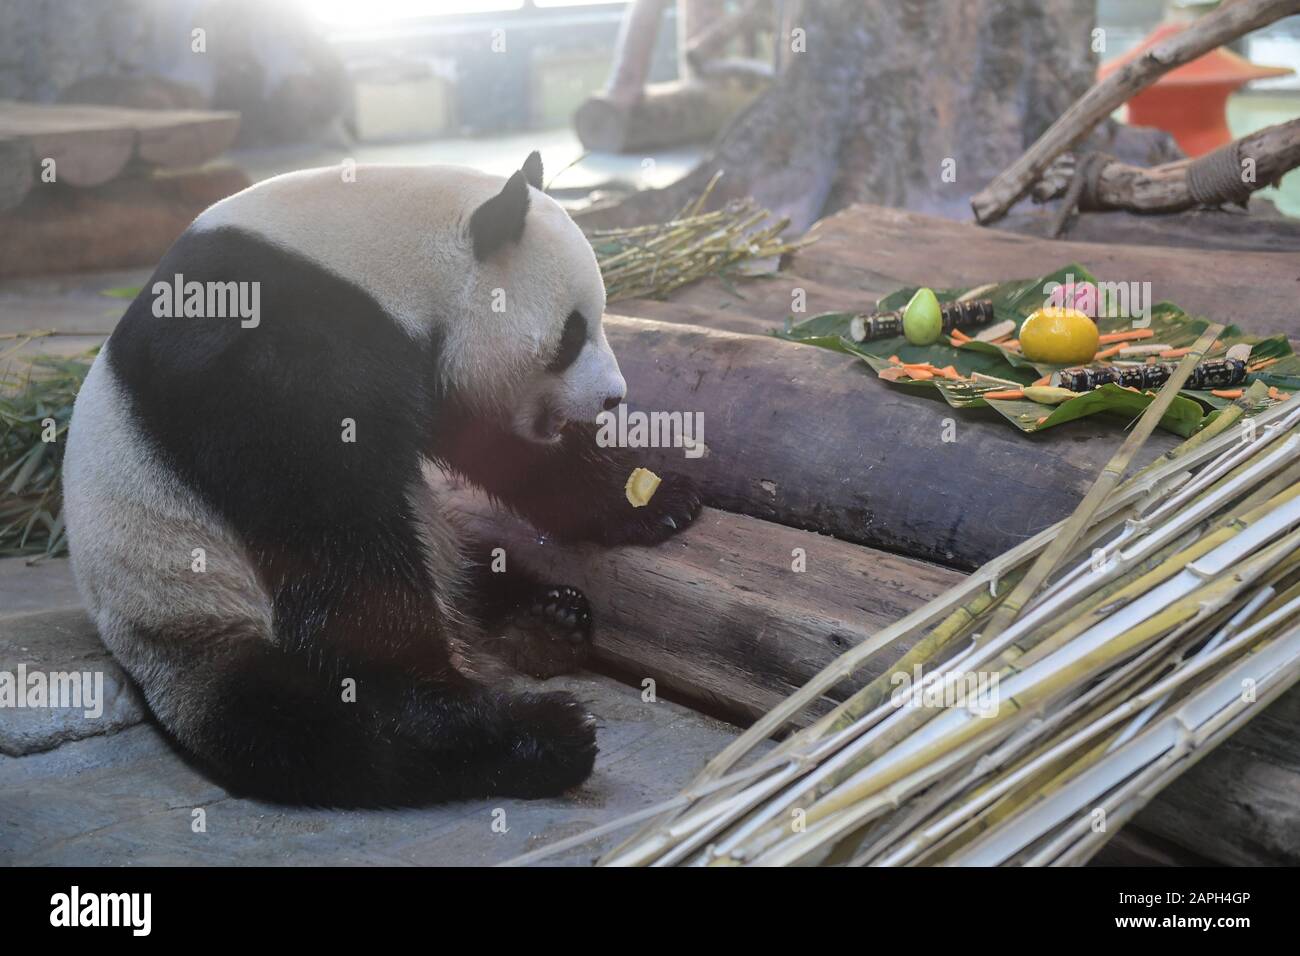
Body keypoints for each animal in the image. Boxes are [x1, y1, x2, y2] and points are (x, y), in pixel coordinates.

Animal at [62, 152, 700, 807]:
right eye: (571, 333)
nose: (613, 397)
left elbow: (496, 442)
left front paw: (657, 501)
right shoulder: (267, 354)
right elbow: (338, 533)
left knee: (467, 565)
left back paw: (543, 621)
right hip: (192, 606)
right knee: (314, 725)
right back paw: (529, 735)